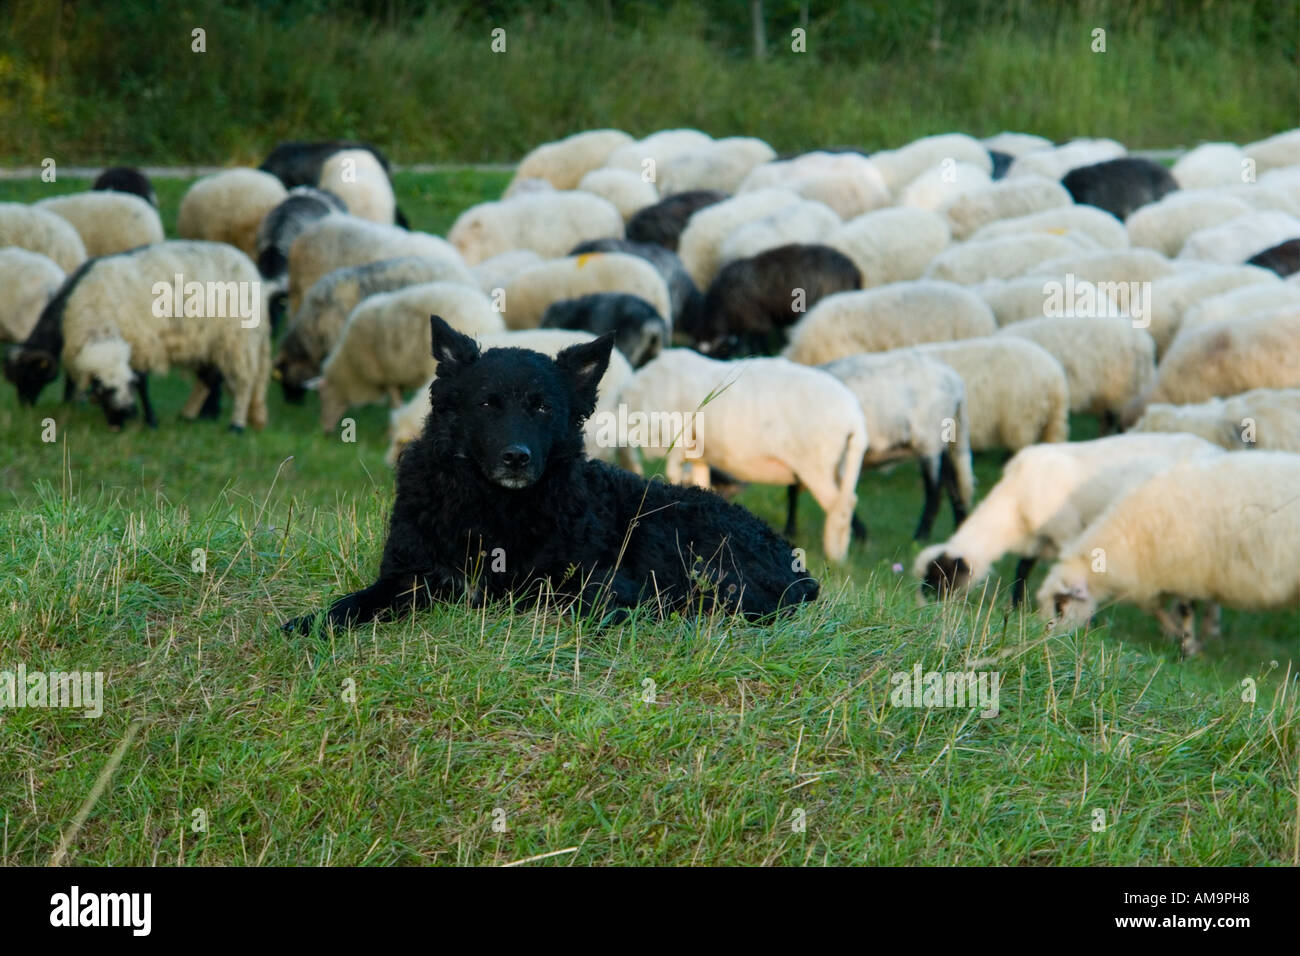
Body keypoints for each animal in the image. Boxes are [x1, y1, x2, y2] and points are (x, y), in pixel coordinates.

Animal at [54, 241, 270, 431]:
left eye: (126, 386)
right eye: (104, 391)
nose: (120, 419)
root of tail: (248, 264)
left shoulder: (141, 345)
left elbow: (142, 383)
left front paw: (150, 421)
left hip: (240, 339)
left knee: (244, 383)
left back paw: (236, 425)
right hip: (209, 342)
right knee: (209, 378)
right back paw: (187, 415)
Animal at [617, 348, 868, 563]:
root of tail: (854, 416)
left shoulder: (676, 439)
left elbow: (672, 474)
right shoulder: (698, 455)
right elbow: (701, 483)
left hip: (816, 465)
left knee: (838, 505)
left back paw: (834, 555)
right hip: (839, 464)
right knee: (849, 499)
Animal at [805, 349, 974, 542]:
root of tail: (955, 382)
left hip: (929, 439)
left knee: (935, 491)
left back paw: (920, 536)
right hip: (940, 441)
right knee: (952, 479)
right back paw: (959, 527)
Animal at [914, 432, 1222, 607]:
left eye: (942, 578)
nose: (923, 605)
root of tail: (1214, 448)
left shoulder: (1068, 533)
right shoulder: (1038, 538)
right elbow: (1023, 569)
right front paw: (1016, 608)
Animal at [1036, 451, 1300, 655]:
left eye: (1060, 606)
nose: (1044, 639)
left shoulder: (1187, 572)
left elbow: (1184, 610)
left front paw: (1187, 648)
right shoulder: (1157, 576)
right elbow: (1157, 608)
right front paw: (1177, 634)